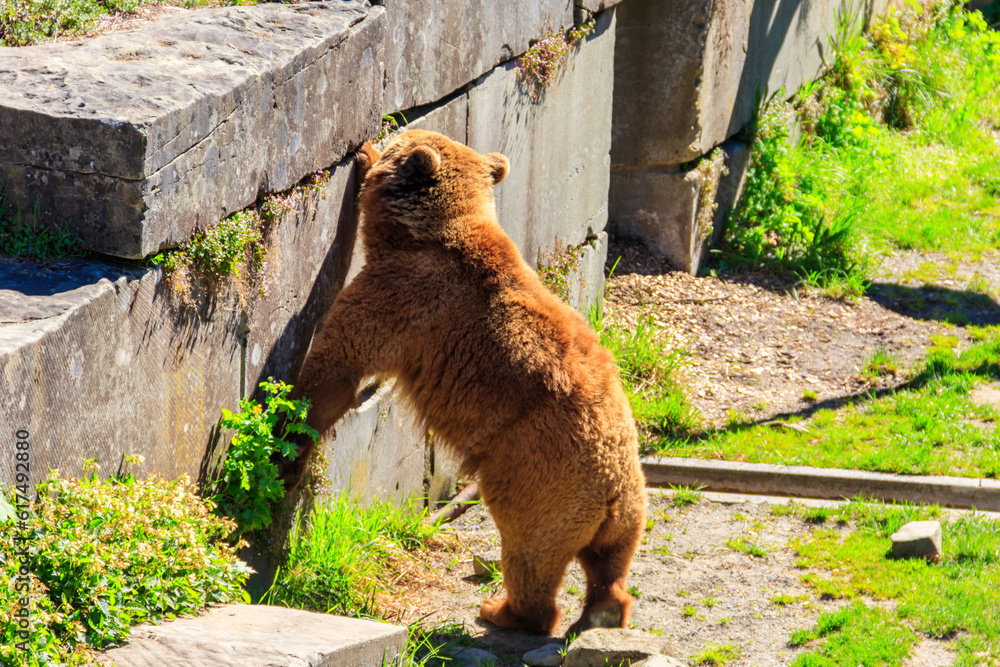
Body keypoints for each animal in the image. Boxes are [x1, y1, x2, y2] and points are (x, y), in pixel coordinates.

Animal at [286, 129, 646, 636]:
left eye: (400, 138)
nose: (385, 135)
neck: (425, 233)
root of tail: (613, 489)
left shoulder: (404, 295)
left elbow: (338, 363)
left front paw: (290, 440)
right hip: (627, 511)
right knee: (610, 561)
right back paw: (606, 609)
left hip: (539, 483)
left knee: (529, 555)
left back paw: (504, 611)